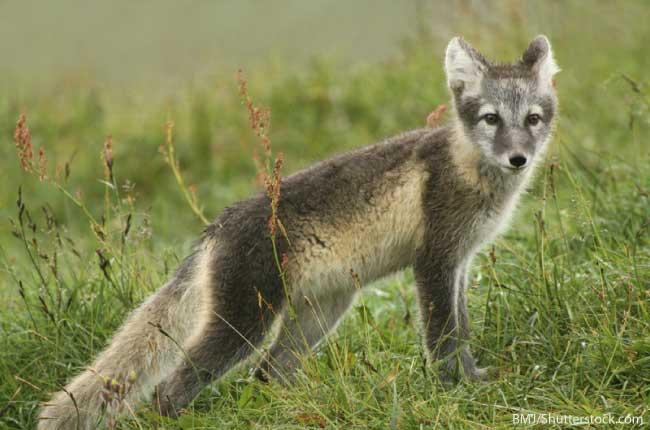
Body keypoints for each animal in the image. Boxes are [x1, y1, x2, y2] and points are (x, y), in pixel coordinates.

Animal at [38, 35, 559, 429]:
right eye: (491, 118)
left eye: (533, 118)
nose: (519, 158)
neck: (469, 169)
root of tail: (217, 226)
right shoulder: (434, 260)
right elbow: (444, 337)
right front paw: (456, 390)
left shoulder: (461, 262)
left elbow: (463, 330)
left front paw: (476, 380)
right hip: (244, 321)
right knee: (171, 389)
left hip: (321, 311)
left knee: (266, 374)